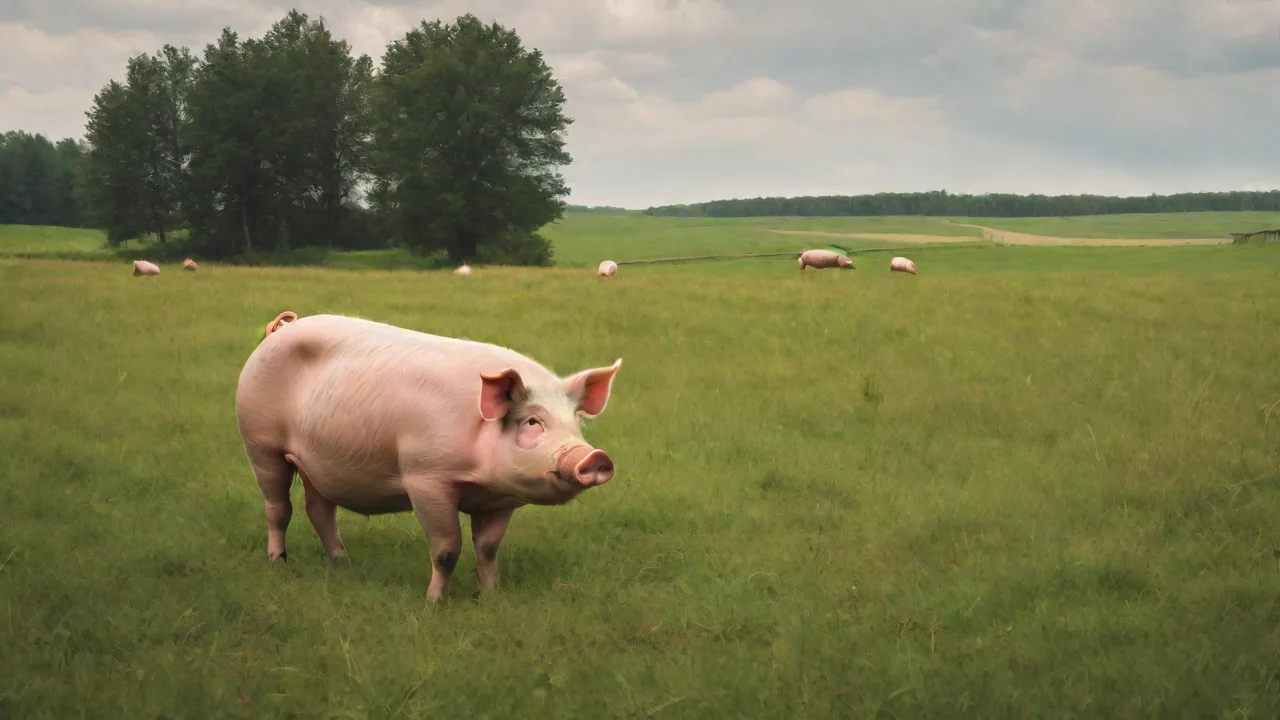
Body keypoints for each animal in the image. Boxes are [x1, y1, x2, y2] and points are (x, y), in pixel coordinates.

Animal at [235, 312, 623, 602]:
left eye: (576, 421)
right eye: (532, 422)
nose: (594, 457)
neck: (481, 477)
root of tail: (280, 329)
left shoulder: (499, 500)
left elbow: (488, 548)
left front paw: (490, 597)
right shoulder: (426, 478)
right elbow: (447, 548)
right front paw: (434, 603)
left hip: (316, 462)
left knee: (318, 509)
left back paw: (343, 564)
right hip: (260, 443)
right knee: (278, 507)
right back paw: (278, 562)